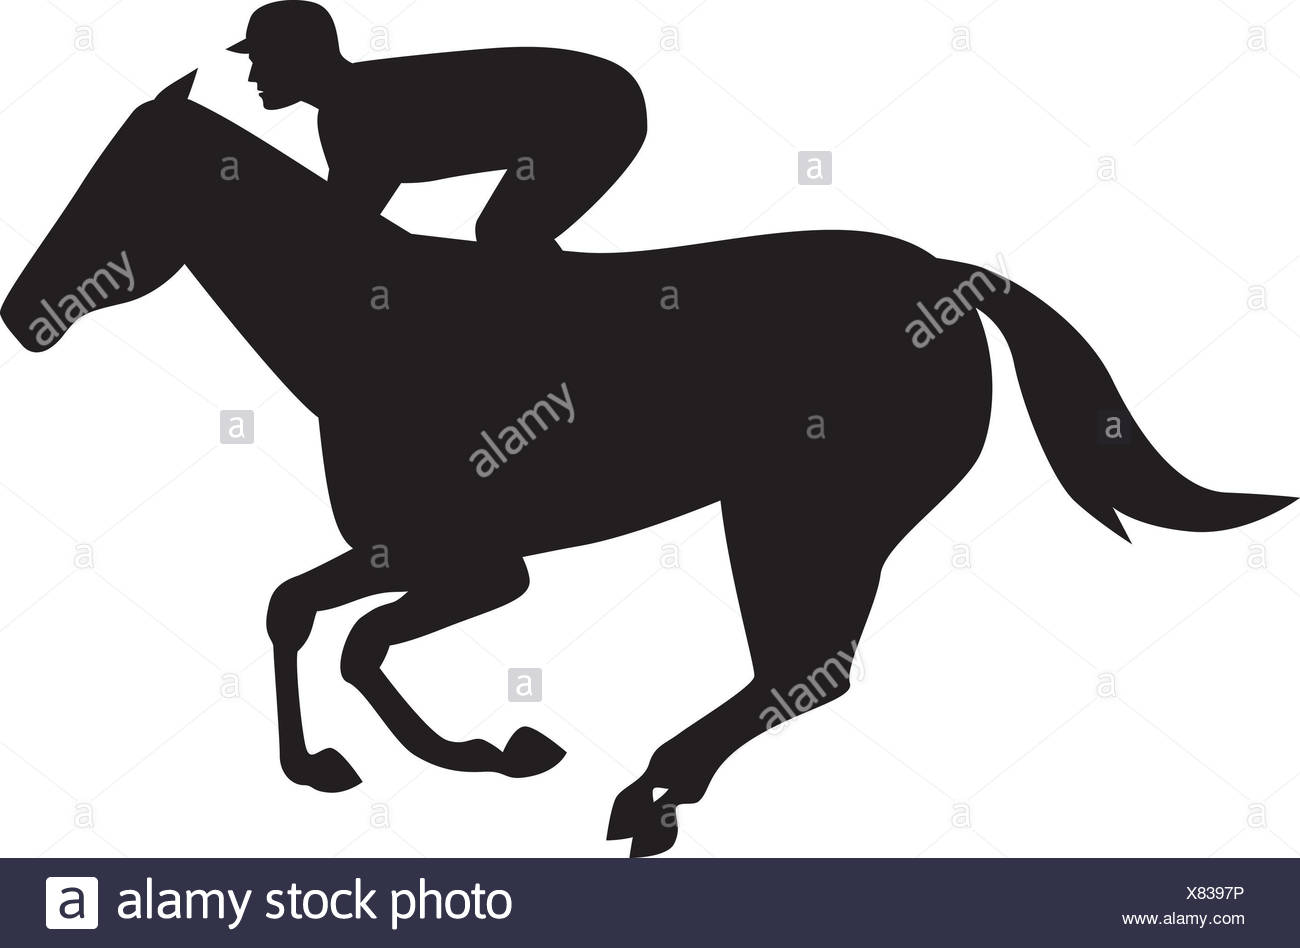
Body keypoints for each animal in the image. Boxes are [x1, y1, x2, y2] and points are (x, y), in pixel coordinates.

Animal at [3, 71, 1292, 857]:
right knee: (804, 666)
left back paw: (647, 793)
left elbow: (364, 643)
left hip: (804, 504)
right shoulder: (400, 546)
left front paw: (499, 752)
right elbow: (290, 609)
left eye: (114, 185)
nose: (20, 315)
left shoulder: (481, 563)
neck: (369, 334)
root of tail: (950, 282)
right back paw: (661, 793)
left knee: (808, 665)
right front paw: (321, 768)